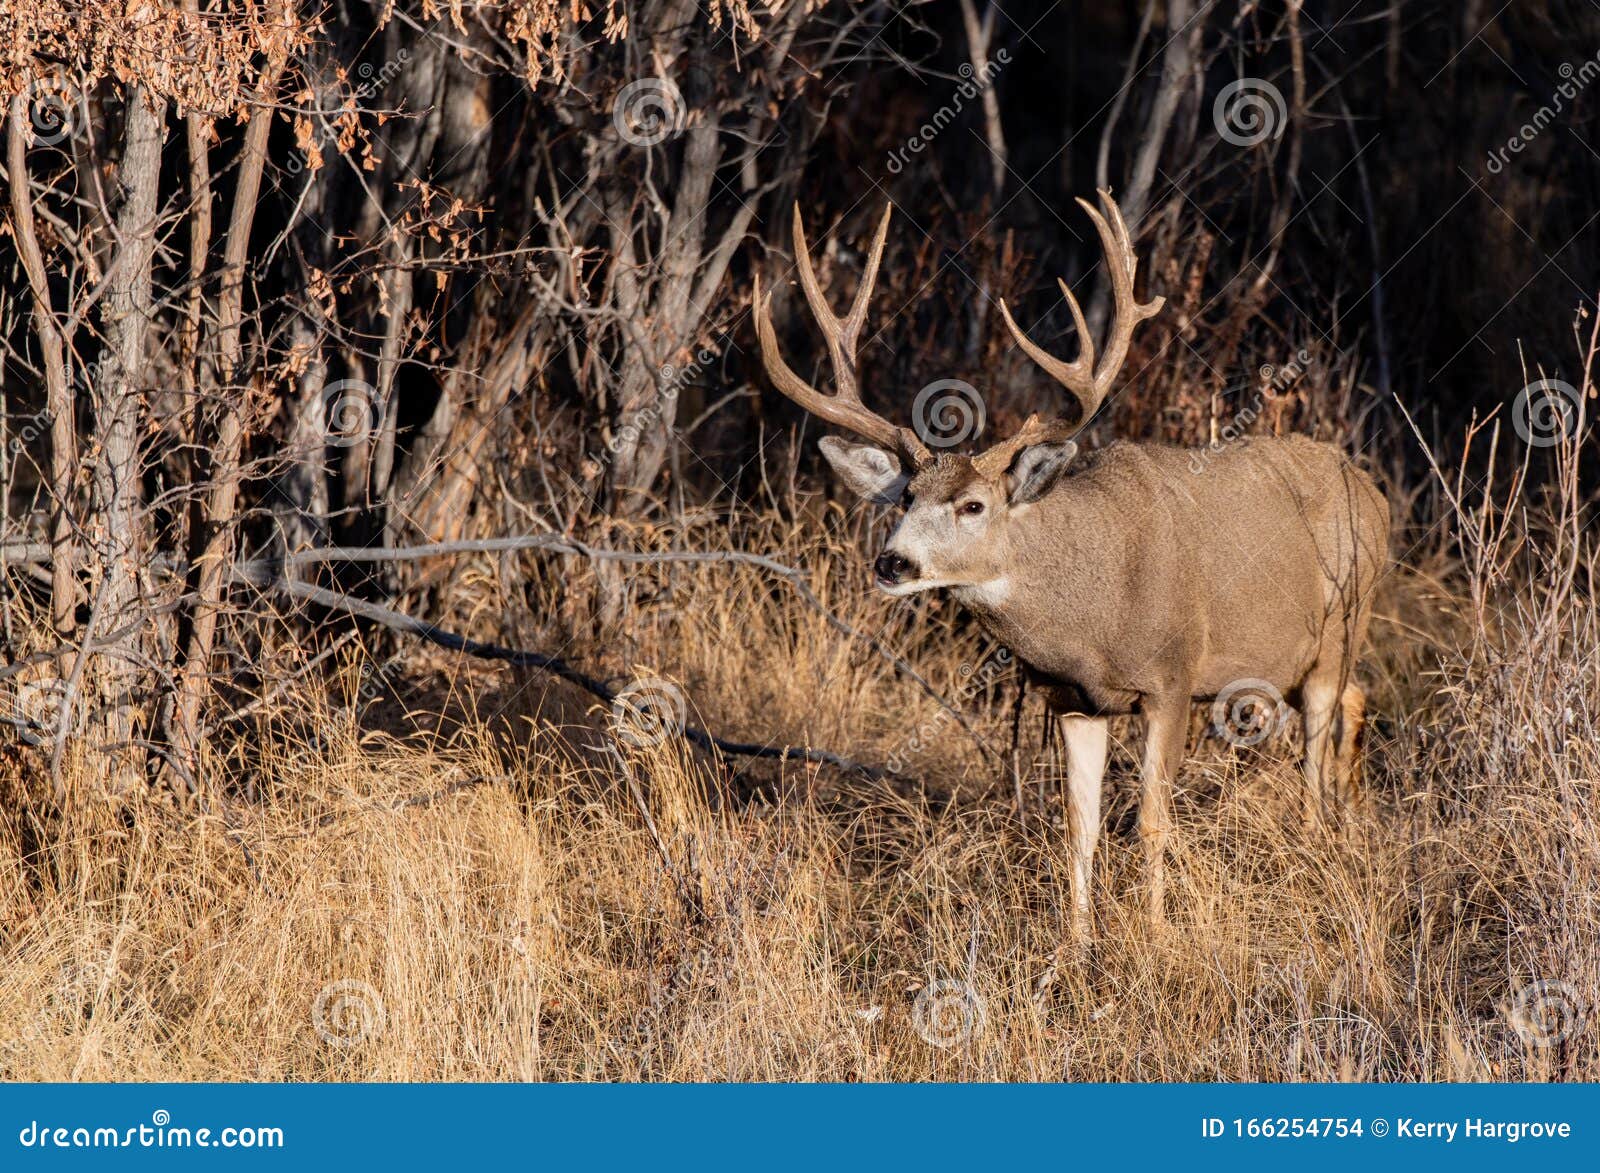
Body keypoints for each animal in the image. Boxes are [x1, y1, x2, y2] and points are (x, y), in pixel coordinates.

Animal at [753, 190, 1389, 939]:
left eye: (972, 505)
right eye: (905, 496)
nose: (893, 561)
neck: (1092, 617)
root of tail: (1373, 490)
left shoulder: (1172, 678)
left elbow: (1151, 822)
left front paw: (1153, 935)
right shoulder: (1072, 700)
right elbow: (1078, 828)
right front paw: (1077, 943)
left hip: (1342, 623)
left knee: (1317, 748)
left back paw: (1322, 840)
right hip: (1288, 663)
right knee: (1356, 699)